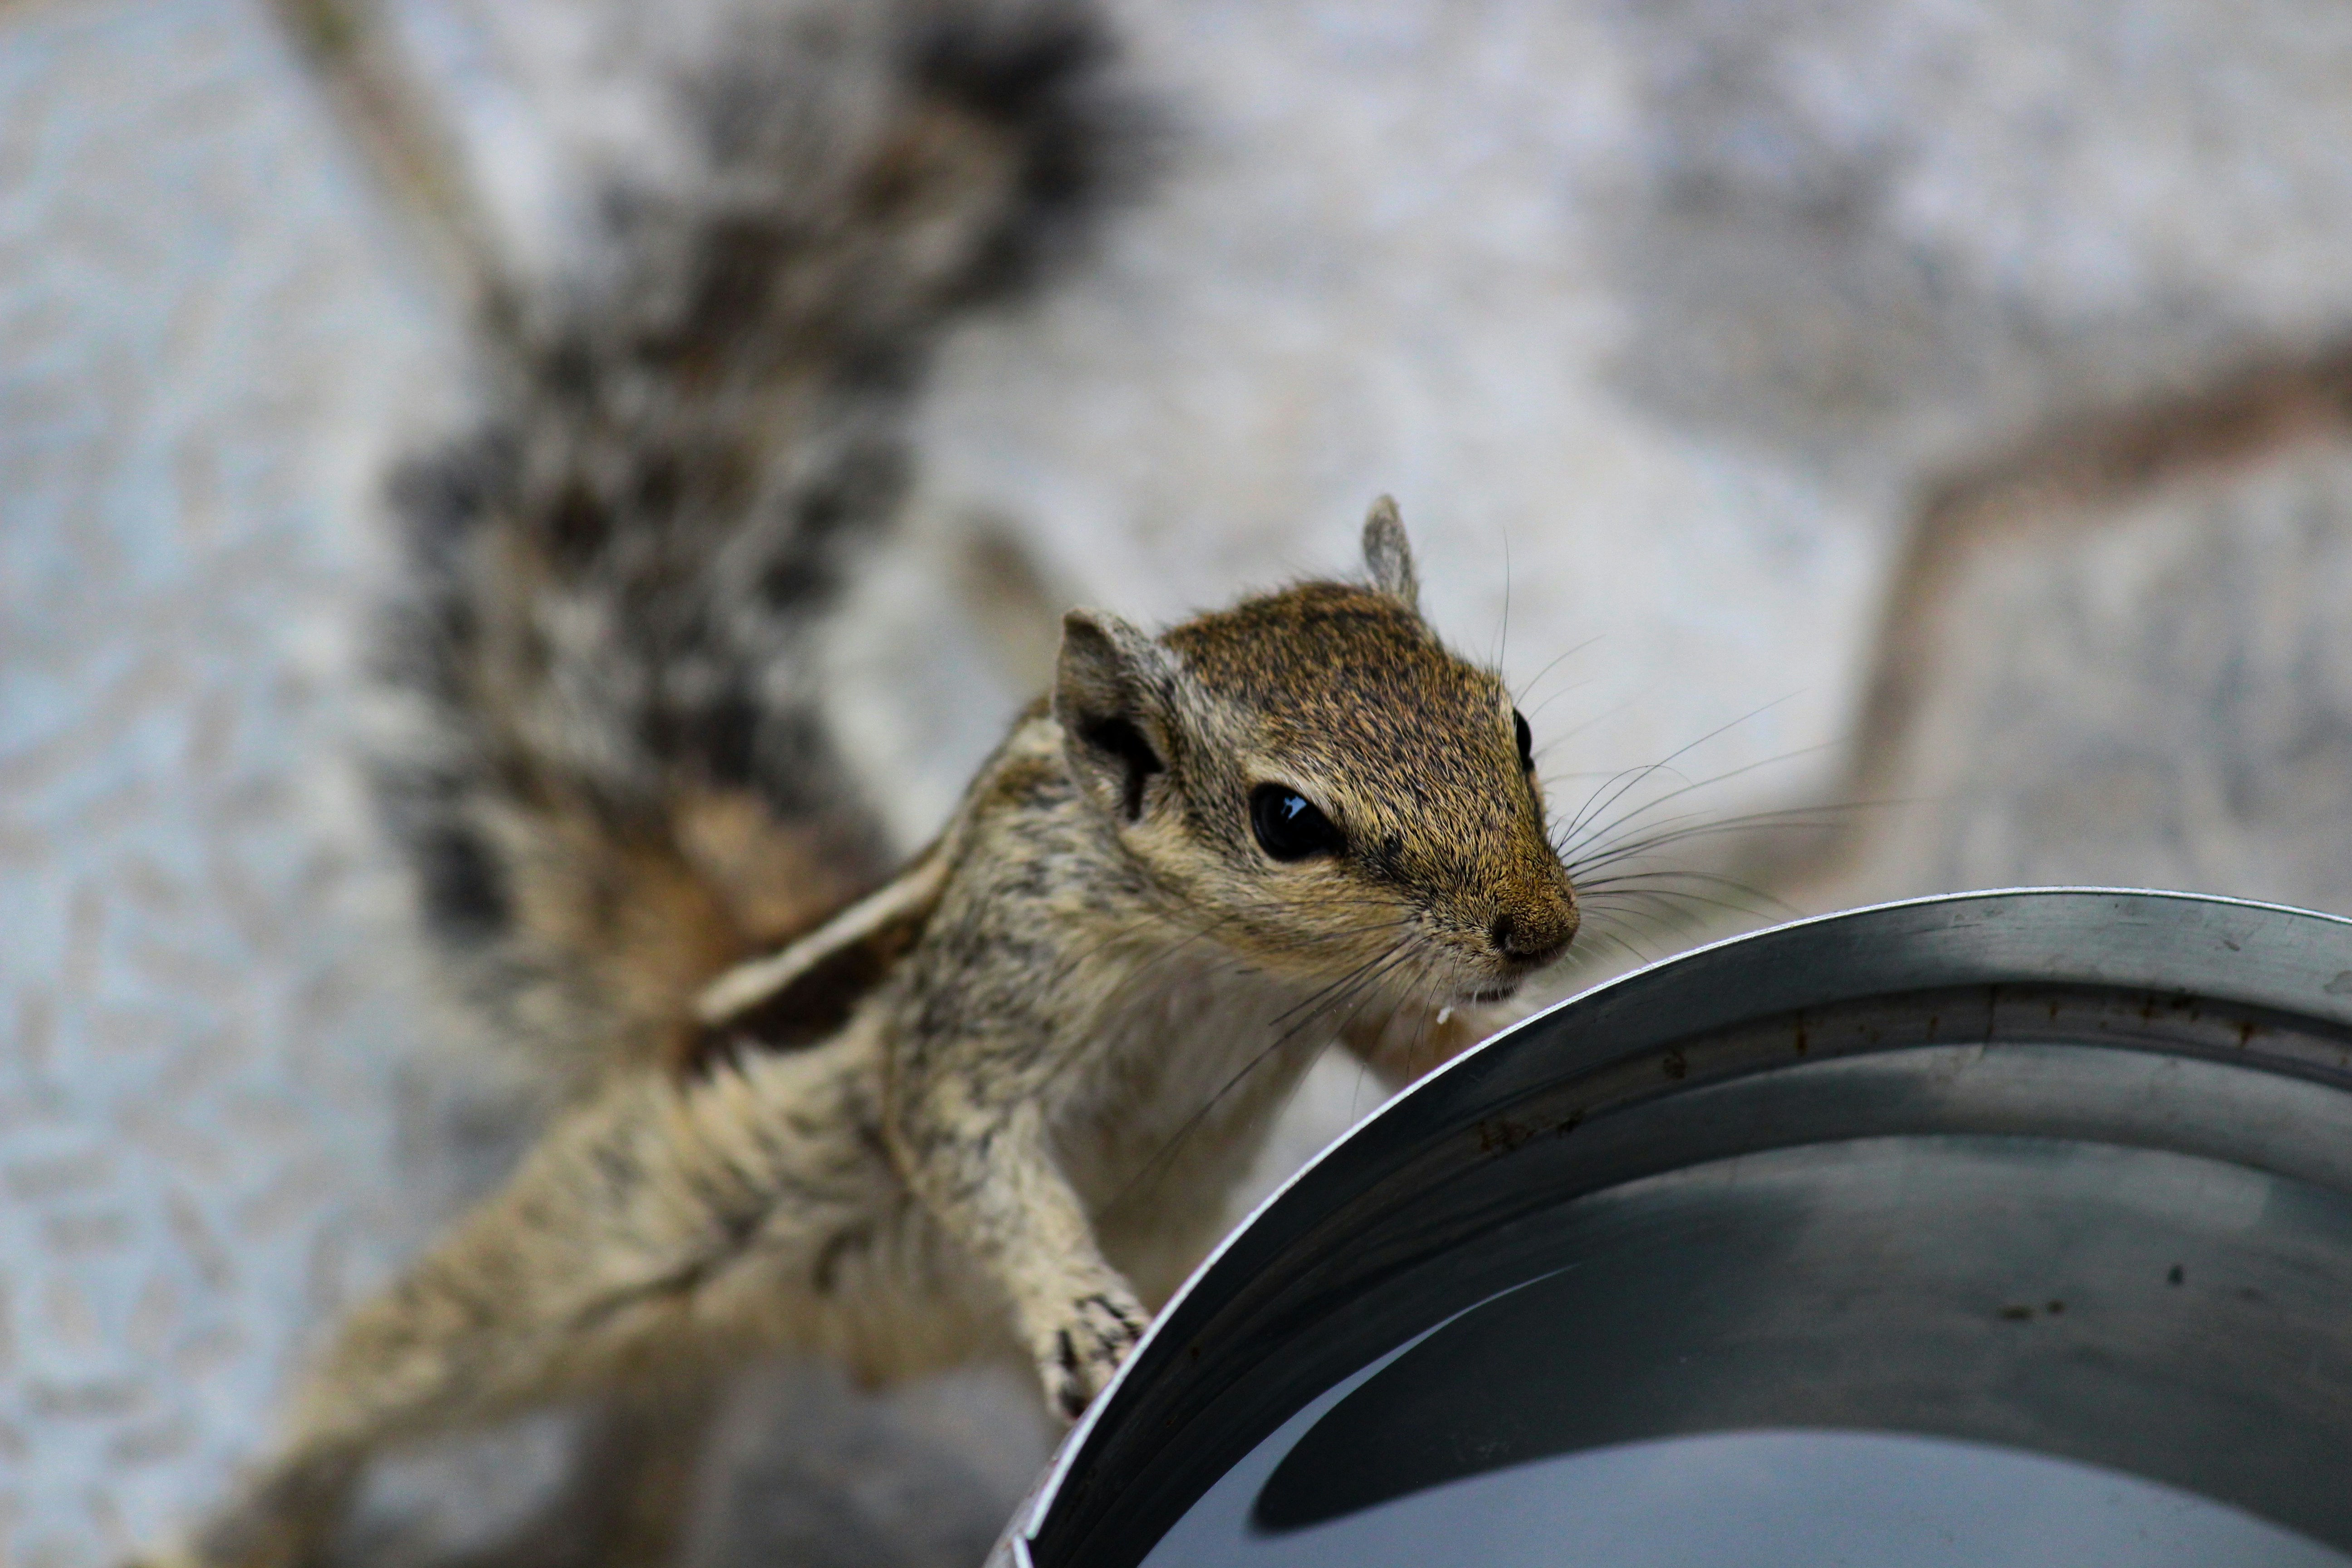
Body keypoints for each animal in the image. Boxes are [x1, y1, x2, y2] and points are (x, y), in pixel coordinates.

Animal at [146, 2, 1580, 1566]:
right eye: (1290, 821)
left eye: (1512, 724)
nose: (1541, 934)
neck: (1219, 965)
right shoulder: (996, 982)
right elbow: (959, 1130)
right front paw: (1069, 1301)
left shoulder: (1342, 998)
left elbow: (1399, 1045)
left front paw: (1495, 1060)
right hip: (595, 1249)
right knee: (376, 1374)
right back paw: (245, 1524)